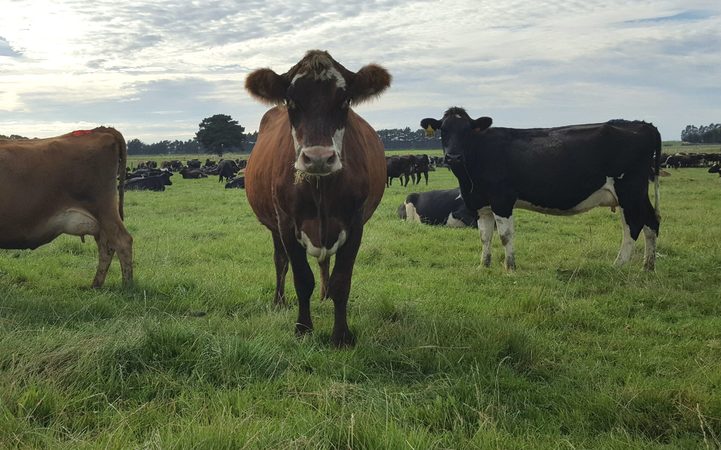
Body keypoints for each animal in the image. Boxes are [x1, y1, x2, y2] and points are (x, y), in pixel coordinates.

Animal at [0, 127, 133, 287]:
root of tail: (99, 130)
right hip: (101, 219)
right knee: (106, 245)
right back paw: (96, 285)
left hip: (105, 210)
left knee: (123, 242)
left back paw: (127, 286)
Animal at [244, 50, 390, 347]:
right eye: (291, 100)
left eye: (344, 100)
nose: (319, 158)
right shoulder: (286, 224)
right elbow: (302, 278)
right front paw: (303, 328)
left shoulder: (355, 224)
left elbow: (341, 281)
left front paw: (341, 335)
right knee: (280, 261)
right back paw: (279, 302)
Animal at [421, 108, 661, 271]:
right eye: (443, 131)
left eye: (467, 131)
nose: (453, 157)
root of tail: (642, 125)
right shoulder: (481, 204)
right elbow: (485, 236)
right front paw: (484, 266)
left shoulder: (502, 200)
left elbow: (505, 235)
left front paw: (510, 268)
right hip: (637, 194)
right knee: (651, 222)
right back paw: (647, 266)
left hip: (629, 191)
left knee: (633, 226)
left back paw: (618, 265)